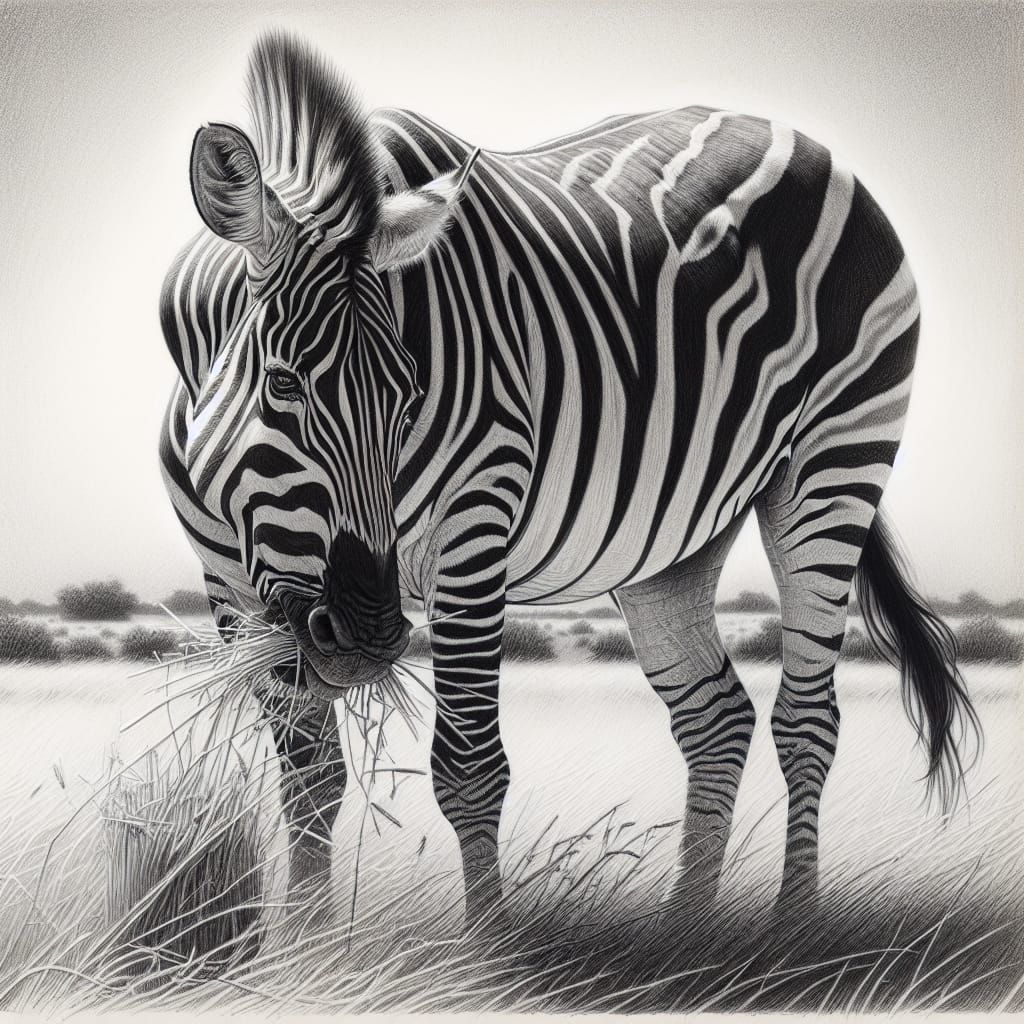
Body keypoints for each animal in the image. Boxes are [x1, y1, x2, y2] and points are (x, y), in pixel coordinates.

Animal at [160, 32, 979, 921]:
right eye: (282, 385)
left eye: (409, 395)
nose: (370, 635)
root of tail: (798, 136)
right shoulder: (228, 577)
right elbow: (308, 779)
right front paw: (303, 947)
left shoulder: (476, 517)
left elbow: (470, 772)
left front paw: (486, 952)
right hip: (675, 534)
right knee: (716, 715)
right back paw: (688, 937)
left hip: (836, 458)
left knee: (807, 717)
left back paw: (791, 930)